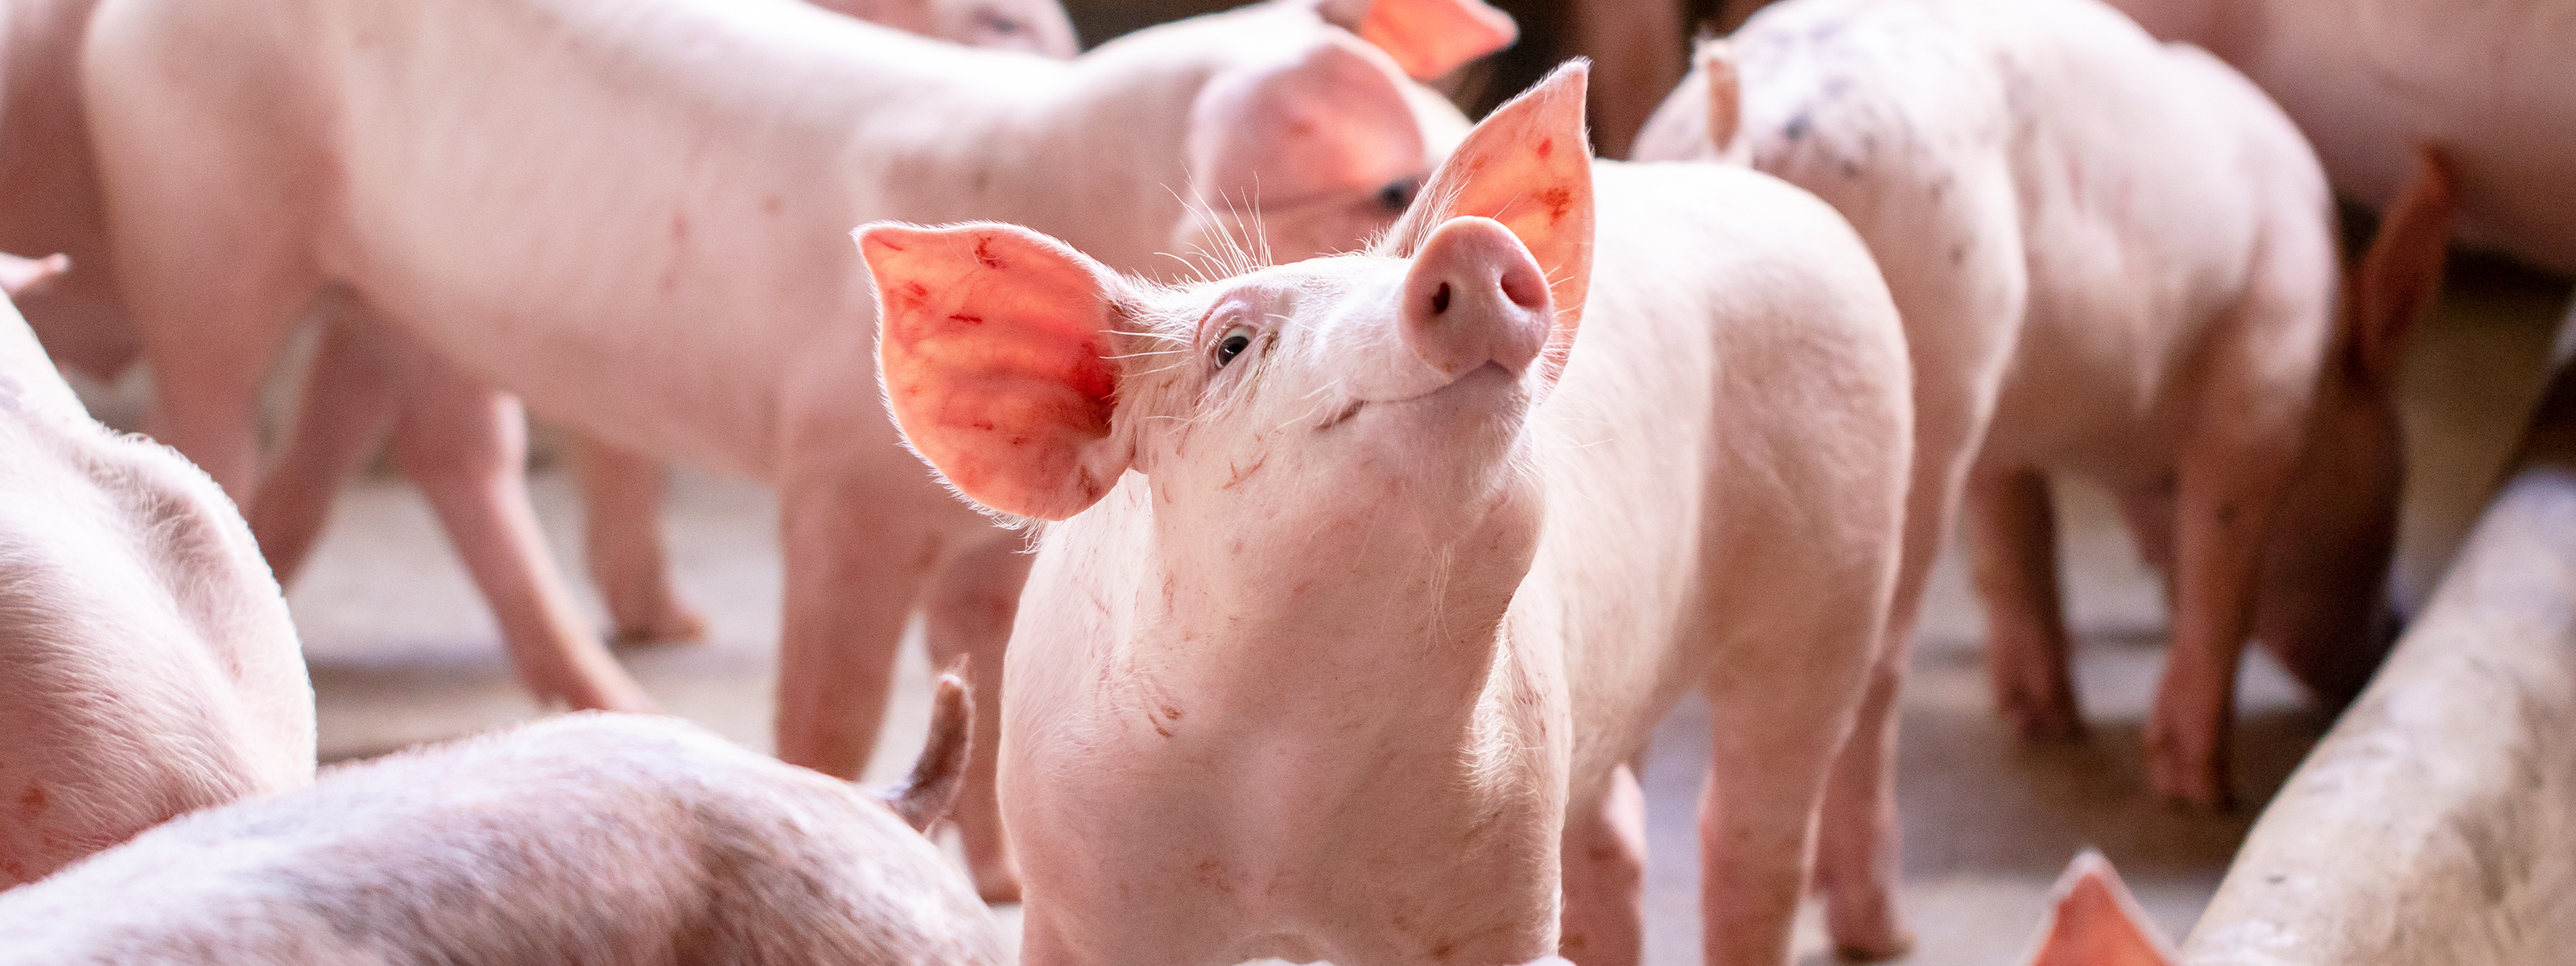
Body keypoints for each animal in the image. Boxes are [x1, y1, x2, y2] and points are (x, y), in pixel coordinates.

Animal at [84, 0, 1513, 901]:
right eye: (1391, 186)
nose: (1497, 250)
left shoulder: (993, 537)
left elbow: (988, 670)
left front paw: (1004, 880)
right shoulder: (840, 483)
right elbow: (835, 691)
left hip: (404, 298)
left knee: (444, 448)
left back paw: (627, 678)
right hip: (202, 210)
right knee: (222, 403)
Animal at [865, 63, 1912, 965]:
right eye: (1230, 344)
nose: (1473, 243)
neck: (1285, 782)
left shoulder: (1499, 863)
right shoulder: (1080, 892)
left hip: (1838, 574)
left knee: (1753, 831)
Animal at [1631, 0, 2460, 955]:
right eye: (2391, 488)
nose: (2391, 628)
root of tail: (1739, 120)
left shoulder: (2008, 433)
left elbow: (2018, 541)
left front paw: (2046, 720)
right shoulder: (2264, 378)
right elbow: (2220, 571)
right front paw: (2204, 790)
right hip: (1928, 389)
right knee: (1873, 679)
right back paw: (1886, 930)